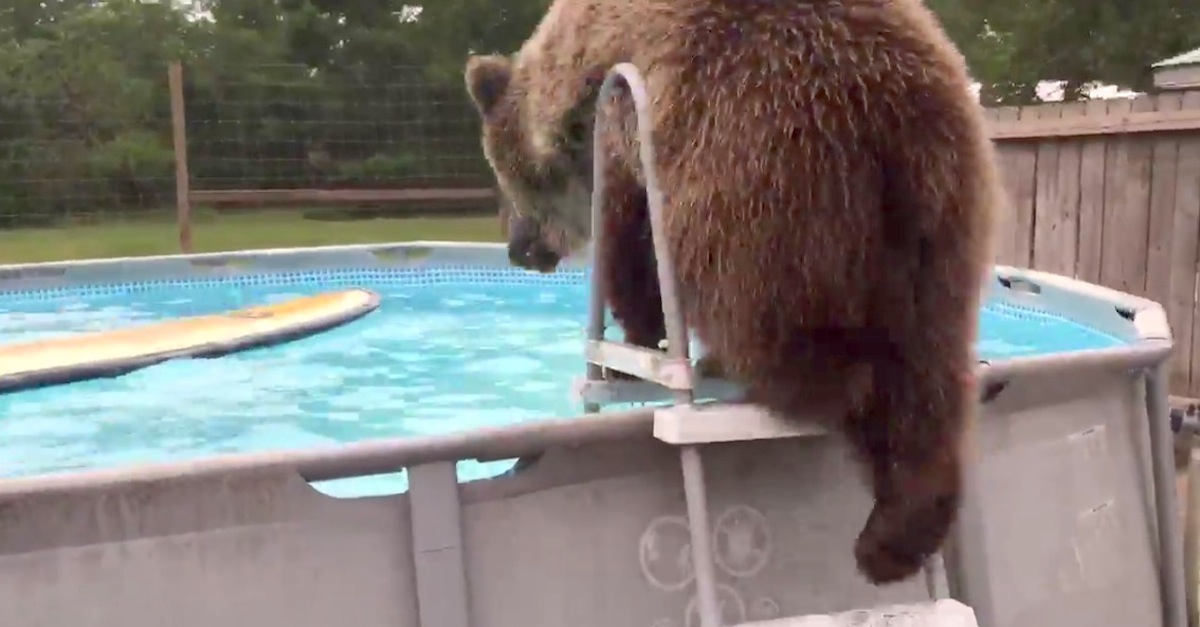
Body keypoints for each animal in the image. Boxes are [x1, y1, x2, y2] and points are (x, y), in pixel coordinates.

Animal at [464, 0, 1000, 586]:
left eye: (504, 180)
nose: (519, 250)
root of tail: (895, 115)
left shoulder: (636, 134)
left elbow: (630, 249)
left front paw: (632, 348)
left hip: (765, 169)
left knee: (779, 326)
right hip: (939, 218)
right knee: (929, 361)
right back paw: (895, 535)